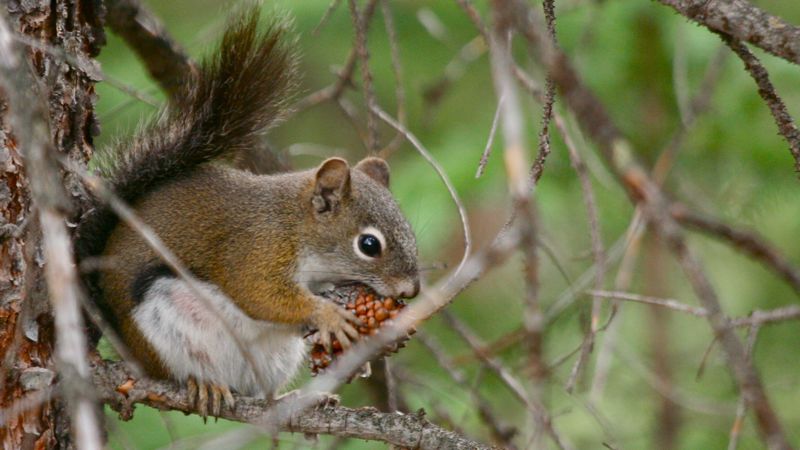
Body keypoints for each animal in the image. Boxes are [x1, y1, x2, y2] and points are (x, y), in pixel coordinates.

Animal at [74, 8, 419, 417]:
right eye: (369, 245)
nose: (411, 290)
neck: (296, 227)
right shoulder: (256, 248)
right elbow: (259, 294)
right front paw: (328, 315)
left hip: (275, 359)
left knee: (259, 393)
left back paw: (294, 400)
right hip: (163, 325)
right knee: (178, 372)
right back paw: (203, 385)